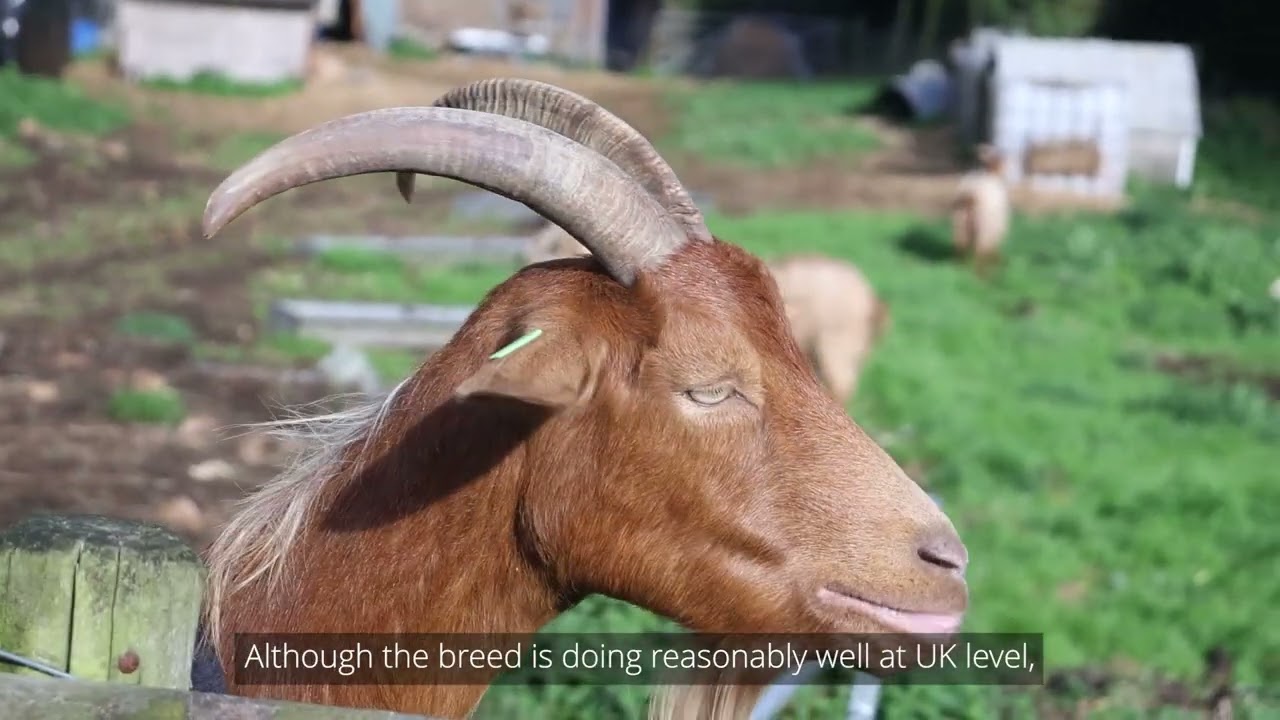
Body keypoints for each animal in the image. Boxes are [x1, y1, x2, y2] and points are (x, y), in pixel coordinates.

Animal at [951, 143, 1010, 276]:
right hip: (984, 226)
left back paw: (961, 269)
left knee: (960, 247)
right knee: (980, 252)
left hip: (959, 223)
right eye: (999, 157)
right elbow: (993, 249)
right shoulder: (996, 228)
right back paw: (983, 275)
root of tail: (970, 193)